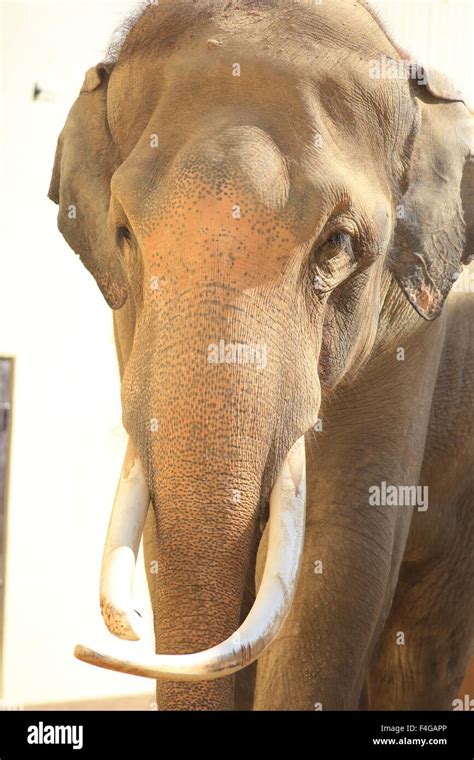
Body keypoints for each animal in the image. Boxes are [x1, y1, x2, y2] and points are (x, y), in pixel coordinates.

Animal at [49, 0, 474, 711]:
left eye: (337, 243)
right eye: (124, 234)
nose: (124, 629)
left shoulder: (410, 340)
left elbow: (339, 552)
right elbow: (162, 530)